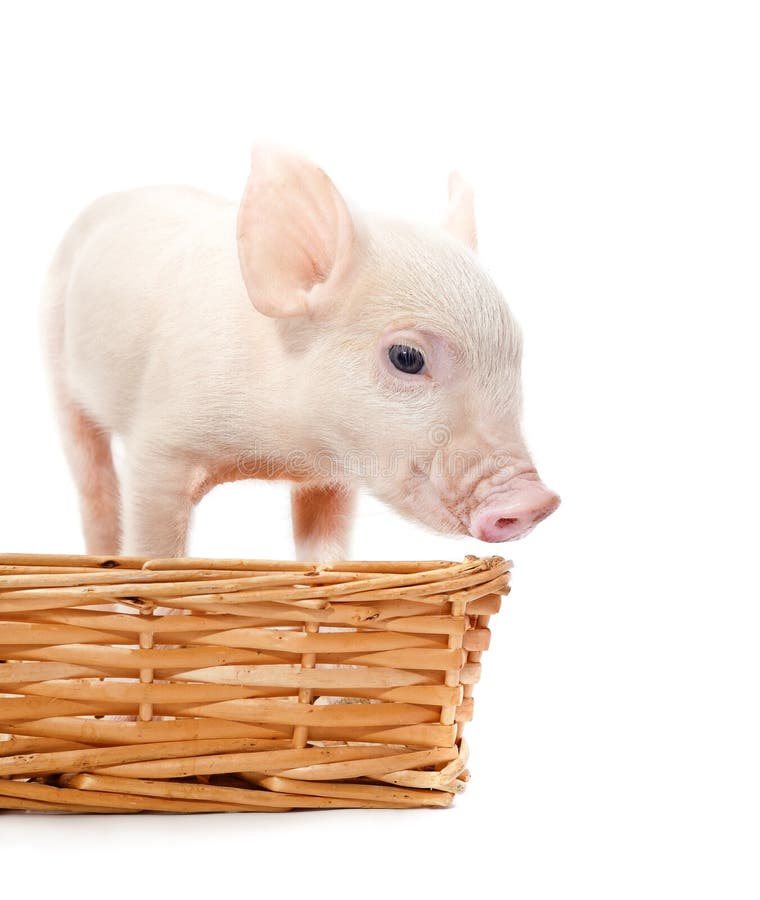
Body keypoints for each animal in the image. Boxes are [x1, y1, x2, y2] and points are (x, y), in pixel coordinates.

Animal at [41, 147, 559, 562]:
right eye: (407, 357)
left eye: (516, 353)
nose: (535, 502)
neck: (277, 454)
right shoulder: (158, 445)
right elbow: (155, 547)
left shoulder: (333, 476)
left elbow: (324, 545)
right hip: (58, 369)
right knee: (94, 483)